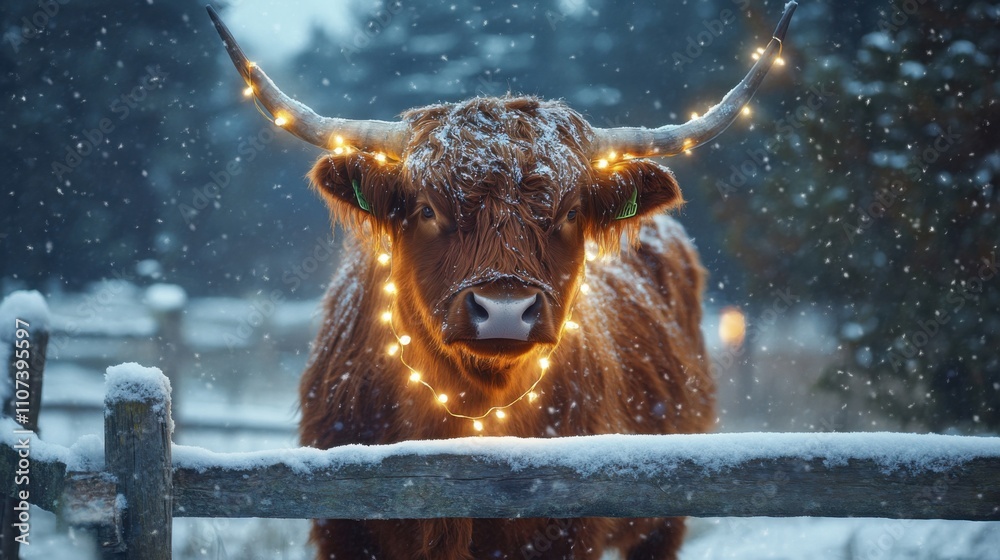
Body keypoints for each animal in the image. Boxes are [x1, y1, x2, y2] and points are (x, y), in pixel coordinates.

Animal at [208, 4, 795, 559]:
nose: (506, 309)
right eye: (427, 209)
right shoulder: (341, 531)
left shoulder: (572, 532)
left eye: (571, 212)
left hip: (663, 521)